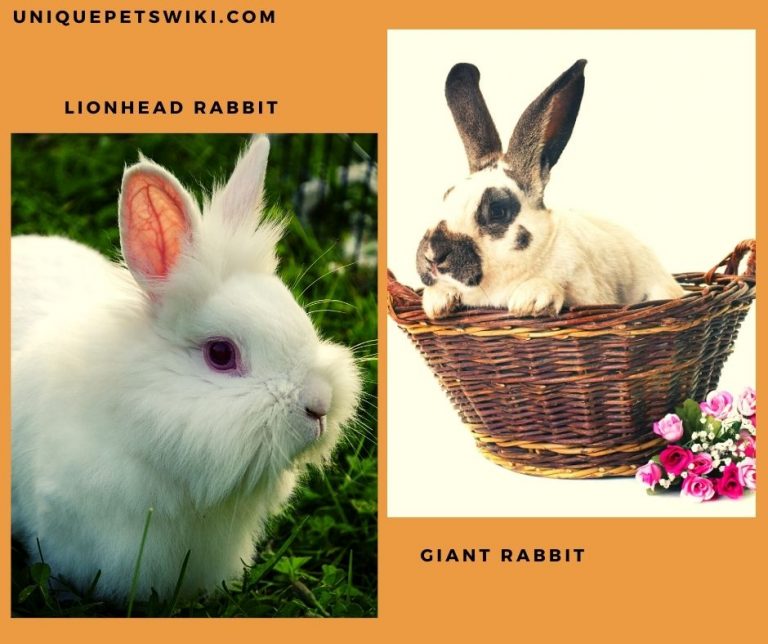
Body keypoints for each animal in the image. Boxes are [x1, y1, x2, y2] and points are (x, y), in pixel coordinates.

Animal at [416, 60, 685, 319]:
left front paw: (532, 300)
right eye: (446, 195)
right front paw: (437, 302)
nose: (432, 255)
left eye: (497, 210)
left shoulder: (590, 293)